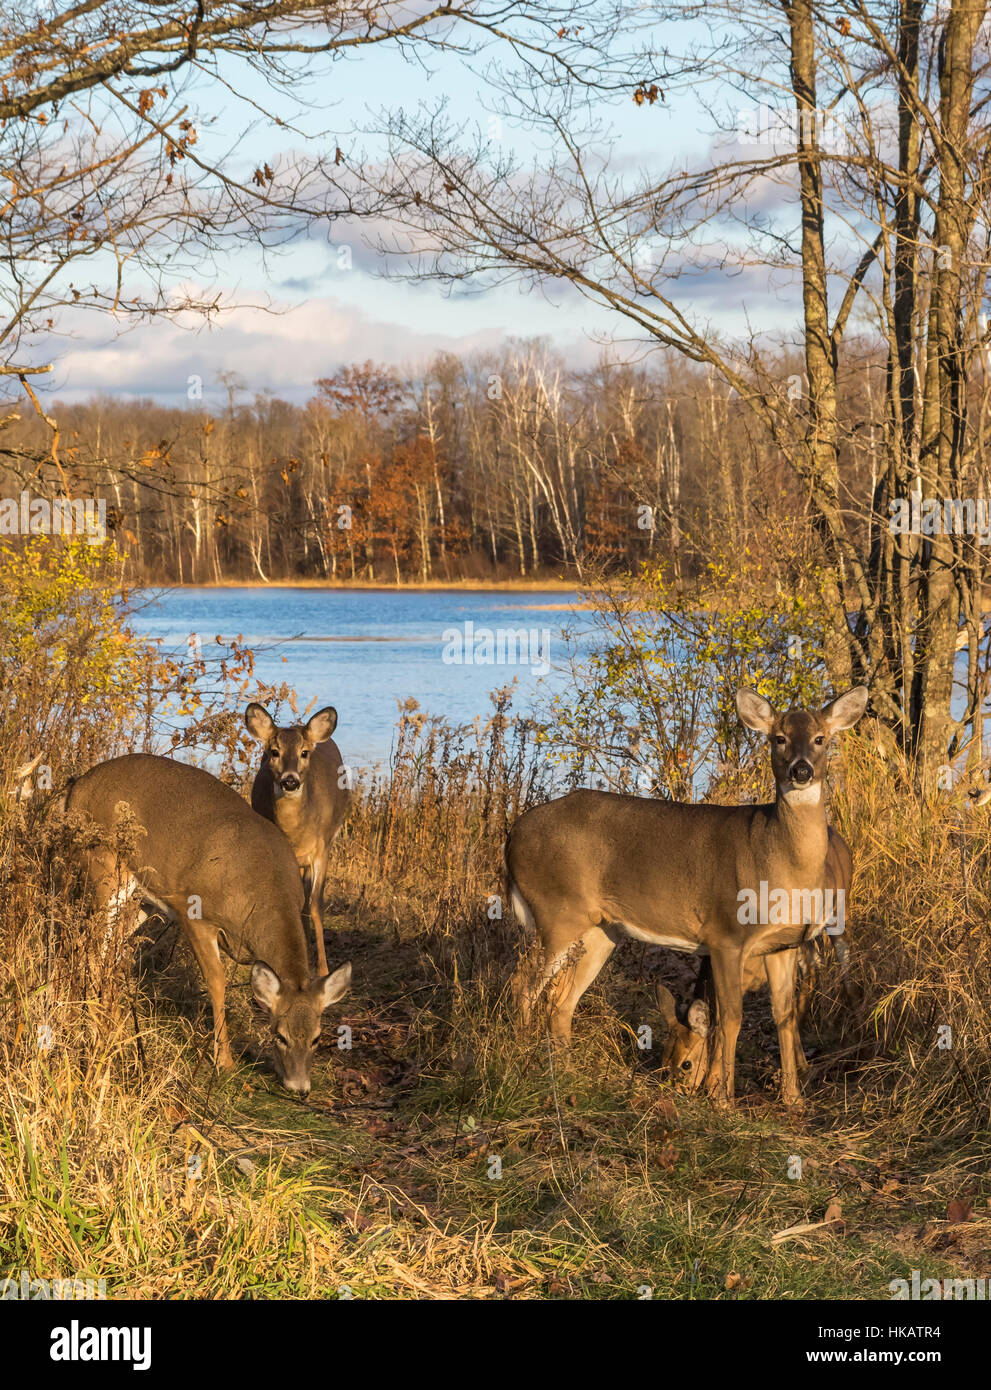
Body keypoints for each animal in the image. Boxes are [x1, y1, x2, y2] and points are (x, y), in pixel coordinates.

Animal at [61, 752, 351, 1096]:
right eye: (280, 1035)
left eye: (317, 1038)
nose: (300, 1087)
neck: (260, 895)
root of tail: (76, 786)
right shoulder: (192, 911)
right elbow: (216, 981)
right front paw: (223, 1060)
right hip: (104, 866)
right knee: (88, 942)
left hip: (141, 898)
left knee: (106, 948)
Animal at [244, 703, 350, 978]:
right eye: (274, 752)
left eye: (304, 753)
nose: (290, 780)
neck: (295, 834)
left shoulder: (322, 849)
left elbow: (316, 905)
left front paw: (322, 968)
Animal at [656, 828, 853, 1096]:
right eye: (665, 1060)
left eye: (686, 1063)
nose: (680, 1091)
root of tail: (841, 841)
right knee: (815, 966)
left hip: (838, 916)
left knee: (845, 958)